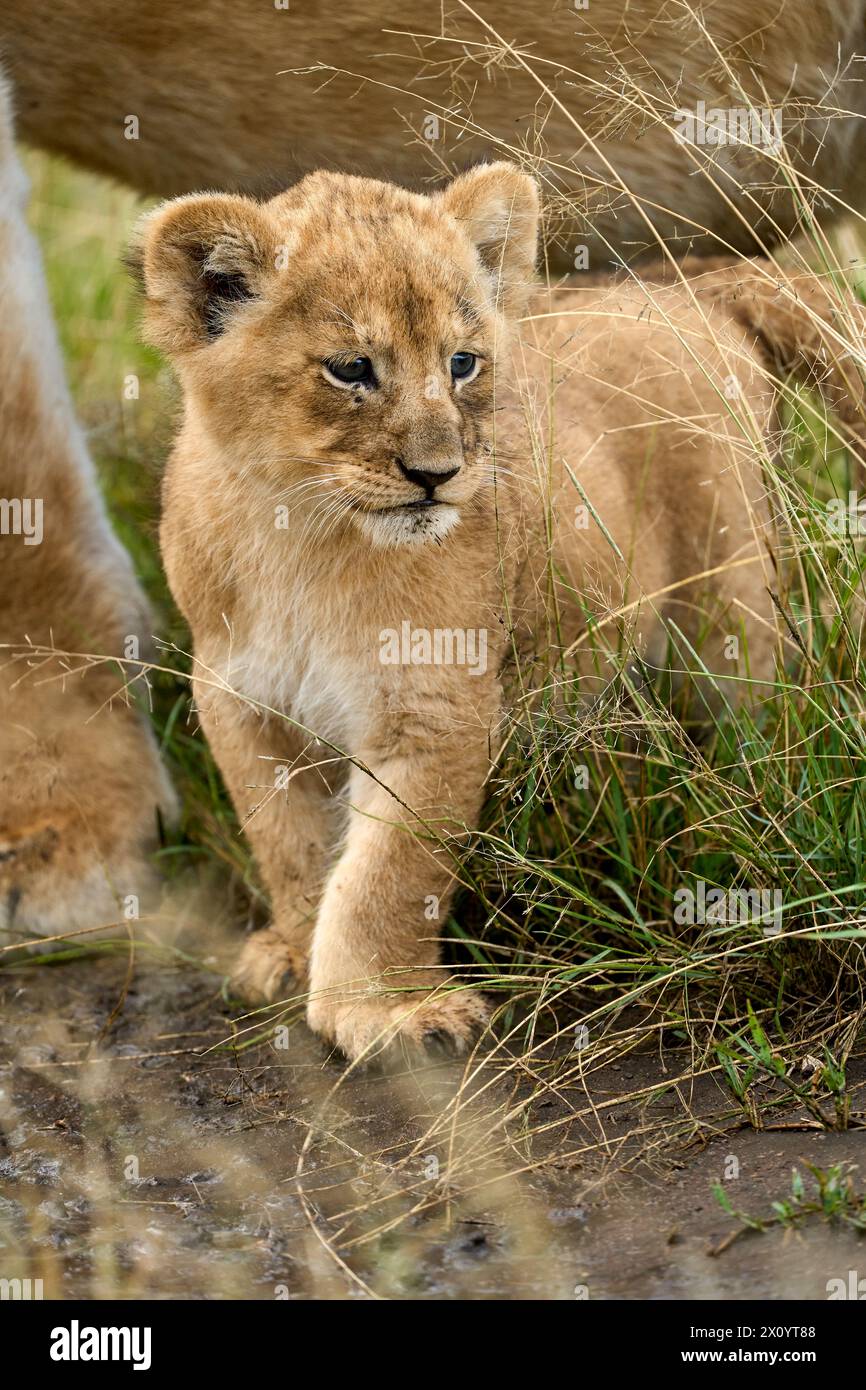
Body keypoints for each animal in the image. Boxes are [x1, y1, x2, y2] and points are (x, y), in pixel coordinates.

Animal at [135, 162, 865, 1061]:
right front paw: (292, 950)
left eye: (463, 362)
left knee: (751, 723)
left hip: (727, 611)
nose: (437, 474)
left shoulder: (438, 708)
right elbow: (288, 842)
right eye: (350, 369)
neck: (302, 534)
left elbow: (388, 873)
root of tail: (694, 283)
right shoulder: (240, 697)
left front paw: (387, 1009)